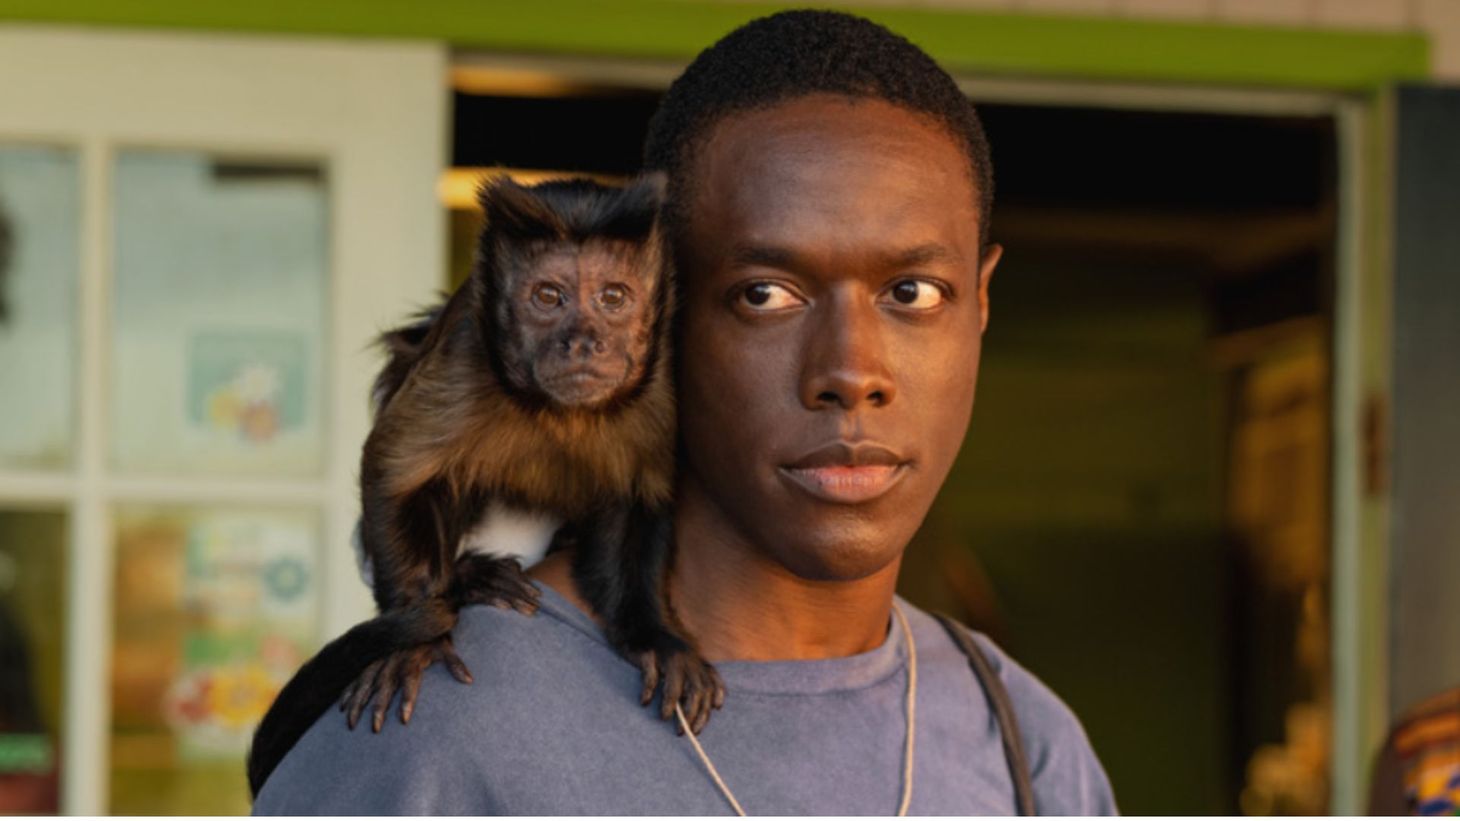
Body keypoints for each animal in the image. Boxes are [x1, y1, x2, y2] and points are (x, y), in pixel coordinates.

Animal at [246, 175, 723, 798]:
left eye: (613, 298)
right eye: (548, 297)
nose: (583, 340)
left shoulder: (662, 372)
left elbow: (641, 496)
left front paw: (653, 637)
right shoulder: (465, 351)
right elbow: (393, 471)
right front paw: (417, 639)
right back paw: (469, 579)